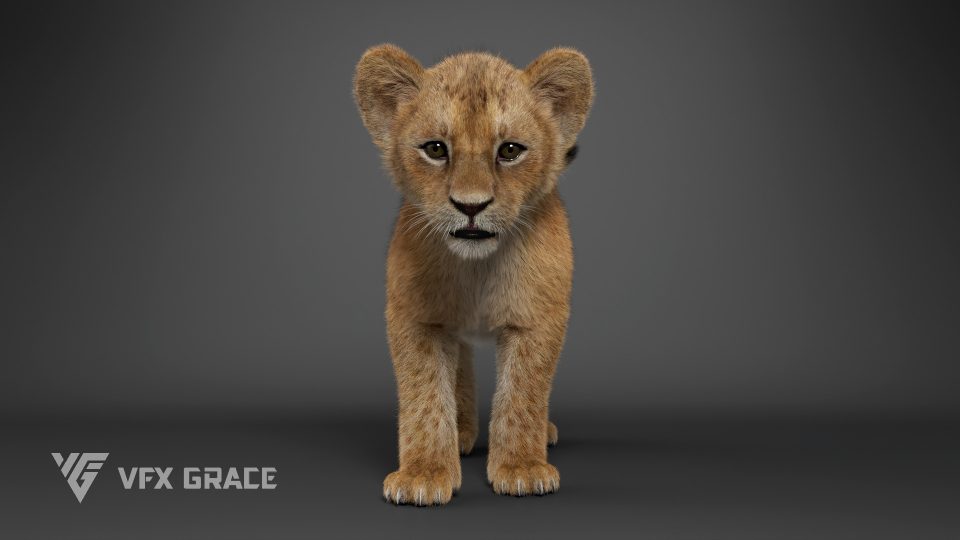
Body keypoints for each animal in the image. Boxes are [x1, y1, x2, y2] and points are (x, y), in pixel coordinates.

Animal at [353, 44, 593, 505]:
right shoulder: (417, 318)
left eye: (510, 150)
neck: (477, 267)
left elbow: (524, 392)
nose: (471, 206)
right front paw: (424, 474)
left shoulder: (537, 318)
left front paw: (521, 468)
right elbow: (425, 394)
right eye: (435, 149)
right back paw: (462, 433)